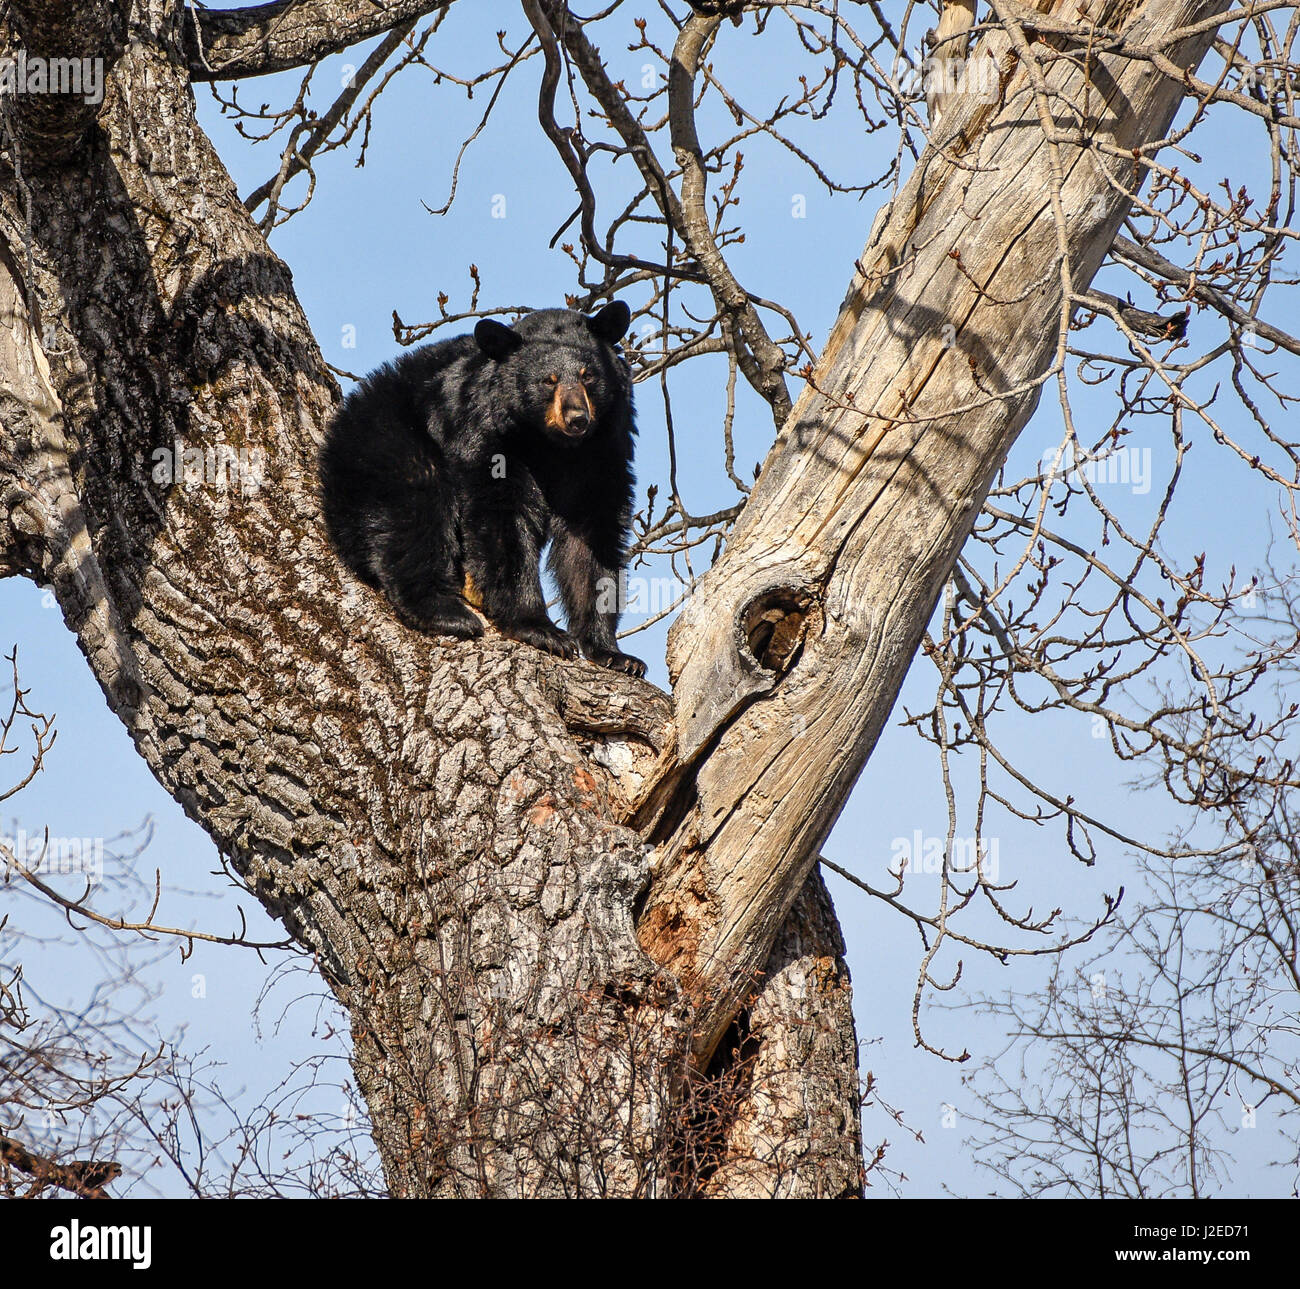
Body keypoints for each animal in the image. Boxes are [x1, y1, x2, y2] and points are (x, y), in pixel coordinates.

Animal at [318, 301, 646, 678]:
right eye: (547, 381)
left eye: (587, 375)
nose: (577, 418)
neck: (552, 447)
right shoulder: (485, 436)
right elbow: (503, 521)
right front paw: (540, 629)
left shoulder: (602, 456)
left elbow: (592, 541)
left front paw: (613, 652)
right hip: (389, 438)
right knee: (414, 511)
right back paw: (445, 612)